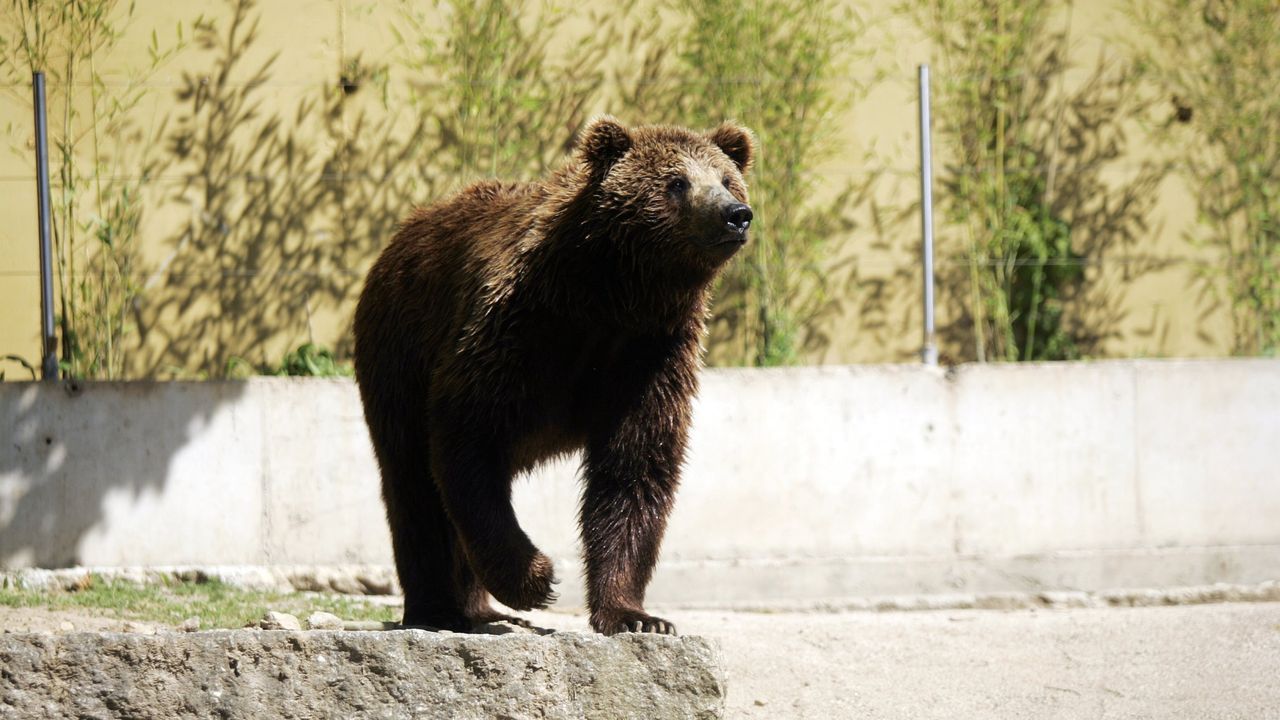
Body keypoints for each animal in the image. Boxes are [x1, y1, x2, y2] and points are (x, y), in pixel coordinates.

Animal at [352, 116, 754, 635]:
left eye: (726, 178)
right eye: (677, 183)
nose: (735, 214)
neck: (611, 298)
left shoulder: (651, 356)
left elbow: (634, 469)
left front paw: (637, 616)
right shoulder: (519, 331)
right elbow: (468, 437)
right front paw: (536, 578)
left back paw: (478, 608)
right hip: (398, 355)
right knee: (414, 484)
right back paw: (439, 608)